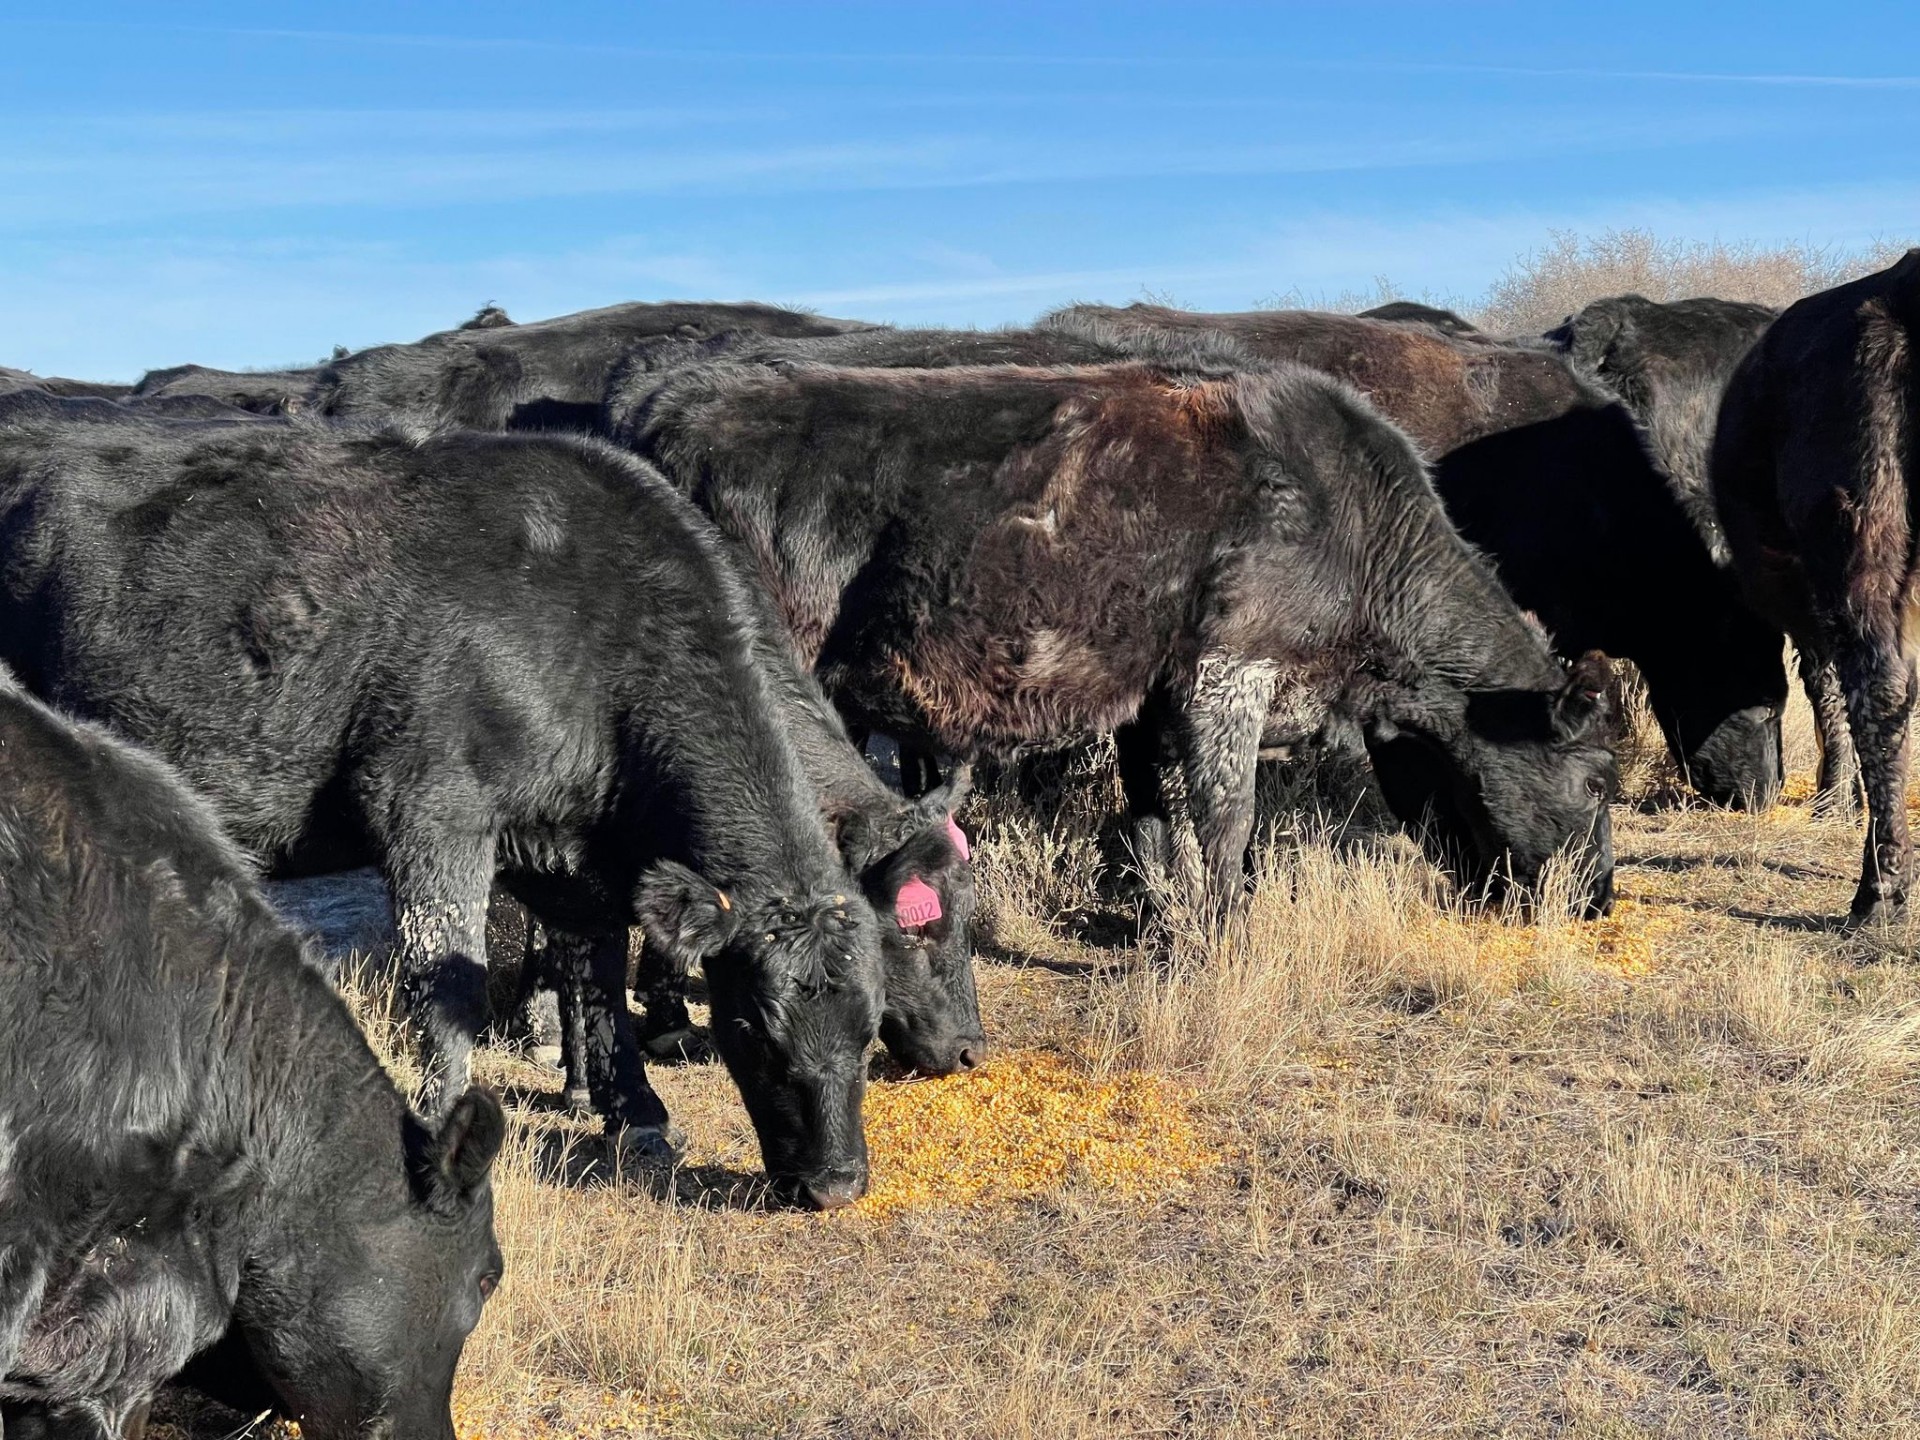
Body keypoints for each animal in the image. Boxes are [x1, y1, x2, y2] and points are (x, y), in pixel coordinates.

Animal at [0, 416, 887, 1208]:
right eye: (753, 1029)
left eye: (871, 1027)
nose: (837, 1186)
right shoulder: (432, 809)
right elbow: (449, 986)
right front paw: (443, 1131)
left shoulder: (564, 846)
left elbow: (598, 970)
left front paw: (635, 1115)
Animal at [610, 358, 1618, 920]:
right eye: (1600, 780)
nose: (1602, 901)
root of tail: (672, 401)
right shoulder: (1229, 672)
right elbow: (1226, 822)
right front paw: (1225, 935)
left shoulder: (1153, 692)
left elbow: (1149, 812)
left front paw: (1150, 911)